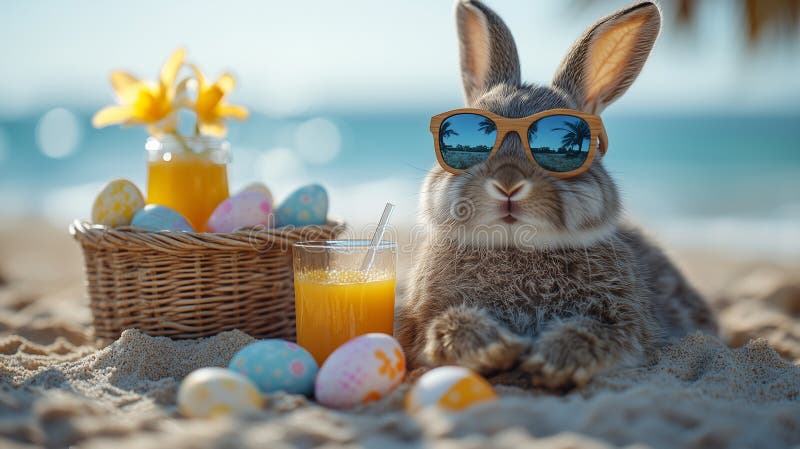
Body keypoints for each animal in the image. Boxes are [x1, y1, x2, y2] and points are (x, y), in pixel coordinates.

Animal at [396, 0, 718, 390]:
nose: (508, 183)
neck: (516, 245)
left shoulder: (624, 321)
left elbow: (599, 333)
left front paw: (553, 358)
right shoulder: (421, 320)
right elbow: (441, 329)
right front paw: (494, 348)